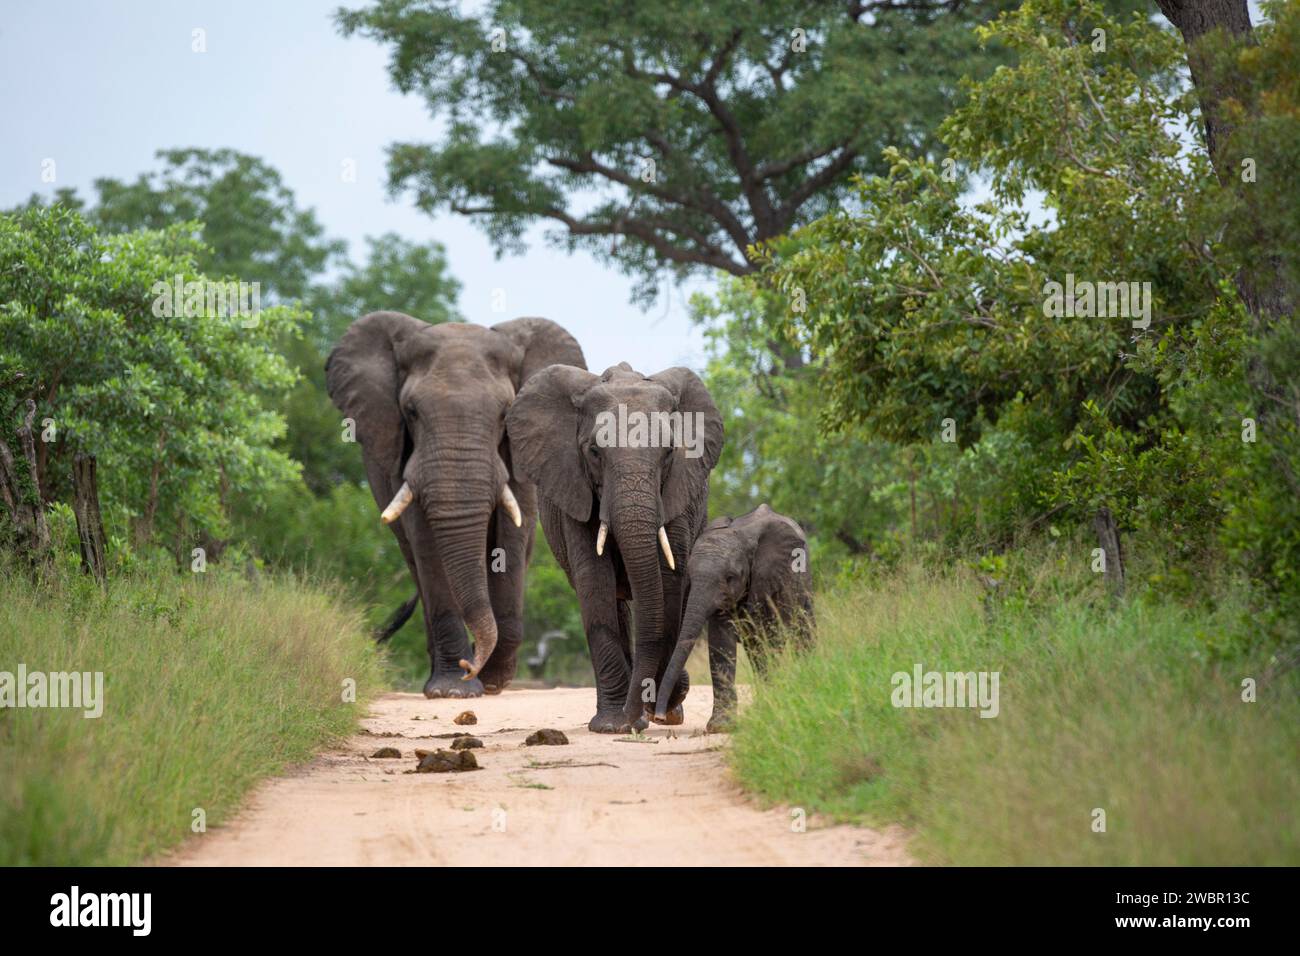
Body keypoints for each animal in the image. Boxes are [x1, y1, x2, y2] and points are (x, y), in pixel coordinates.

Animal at [326, 311, 586, 698]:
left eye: (505, 413)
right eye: (411, 412)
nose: (469, 667)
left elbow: (512, 538)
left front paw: (492, 681)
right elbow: (426, 543)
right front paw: (452, 689)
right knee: (413, 560)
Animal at [505, 362, 724, 732]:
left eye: (668, 452)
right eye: (595, 452)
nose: (634, 718)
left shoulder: (677, 492)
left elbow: (671, 581)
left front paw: (656, 709)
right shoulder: (574, 489)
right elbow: (594, 582)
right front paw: (611, 725)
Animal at [654, 504, 814, 732]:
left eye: (730, 577)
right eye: (690, 577)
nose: (659, 717)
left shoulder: (775, 577)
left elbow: (772, 636)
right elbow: (721, 642)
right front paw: (721, 727)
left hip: (802, 582)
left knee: (802, 633)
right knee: (757, 652)